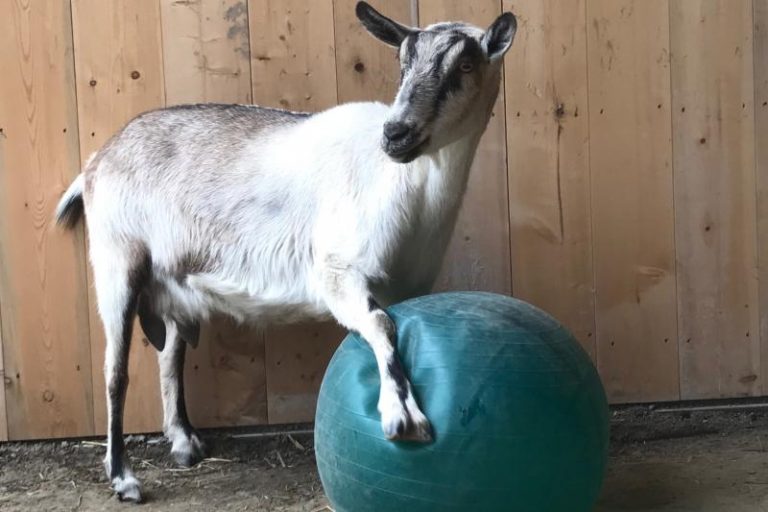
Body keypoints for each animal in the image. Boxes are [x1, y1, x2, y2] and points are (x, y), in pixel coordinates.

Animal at [55, 2, 517, 502]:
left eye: (466, 65)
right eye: (402, 64)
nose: (396, 135)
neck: (406, 188)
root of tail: (98, 160)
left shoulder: (406, 284)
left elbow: (393, 329)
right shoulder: (337, 270)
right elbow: (381, 325)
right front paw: (403, 419)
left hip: (174, 286)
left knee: (170, 356)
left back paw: (184, 442)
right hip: (117, 259)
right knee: (114, 370)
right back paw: (123, 477)